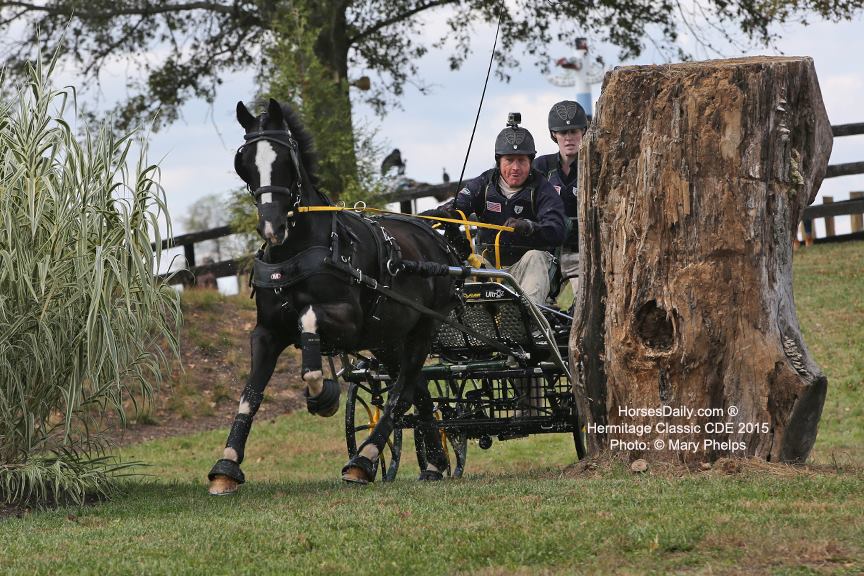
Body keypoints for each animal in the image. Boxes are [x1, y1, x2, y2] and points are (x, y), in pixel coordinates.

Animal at [207, 99, 463, 495]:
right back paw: (434, 462)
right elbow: (250, 395)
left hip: (423, 329)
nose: (271, 226)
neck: (298, 251)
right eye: (244, 162)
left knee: (402, 392)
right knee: (419, 390)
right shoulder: (266, 332)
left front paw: (321, 394)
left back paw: (364, 459)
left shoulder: (349, 321)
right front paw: (226, 466)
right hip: (389, 339)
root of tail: (437, 237)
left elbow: (309, 322)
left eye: (285, 159)